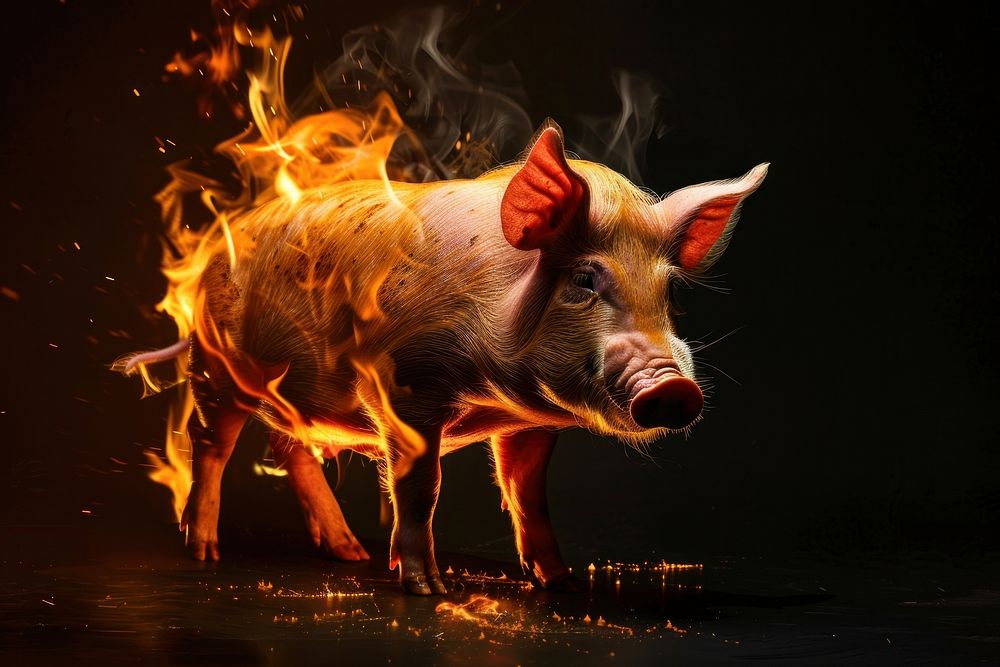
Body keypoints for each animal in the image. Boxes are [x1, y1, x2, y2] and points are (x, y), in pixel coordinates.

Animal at [123, 120, 767, 595]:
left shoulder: (529, 423)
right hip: (217, 368)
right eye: (586, 280)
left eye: (669, 291)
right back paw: (205, 552)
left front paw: (559, 582)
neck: (494, 388)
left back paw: (347, 553)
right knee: (212, 445)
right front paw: (428, 590)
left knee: (292, 450)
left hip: (286, 393)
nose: (674, 388)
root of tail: (213, 253)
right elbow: (420, 487)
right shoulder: (406, 387)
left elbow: (527, 493)